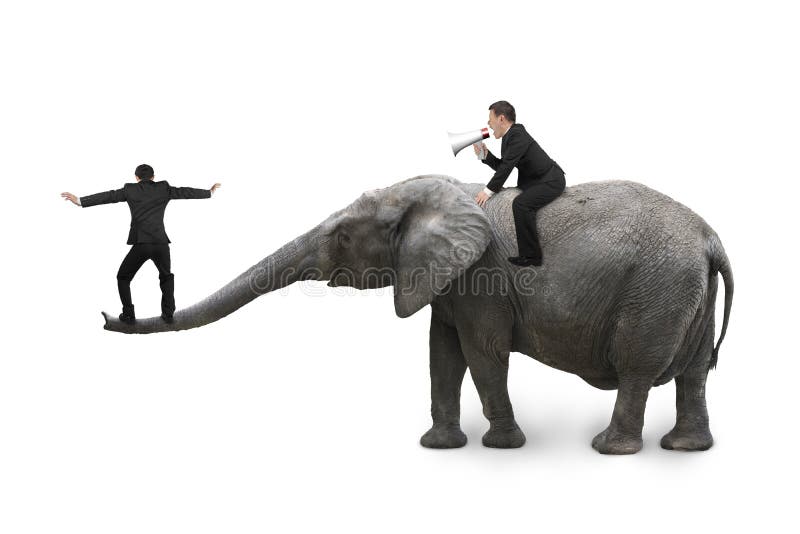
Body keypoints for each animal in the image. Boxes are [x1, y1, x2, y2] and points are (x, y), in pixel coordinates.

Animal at [101, 175, 733, 454]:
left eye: (343, 236)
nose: (110, 318)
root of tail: (711, 241)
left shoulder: (483, 276)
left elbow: (481, 353)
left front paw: (501, 448)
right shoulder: (446, 280)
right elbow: (441, 354)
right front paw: (438, 447)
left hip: (654, 291)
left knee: (637, 370)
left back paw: (610, 450)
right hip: (682, 291)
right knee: (694, 374)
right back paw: (685, 449)